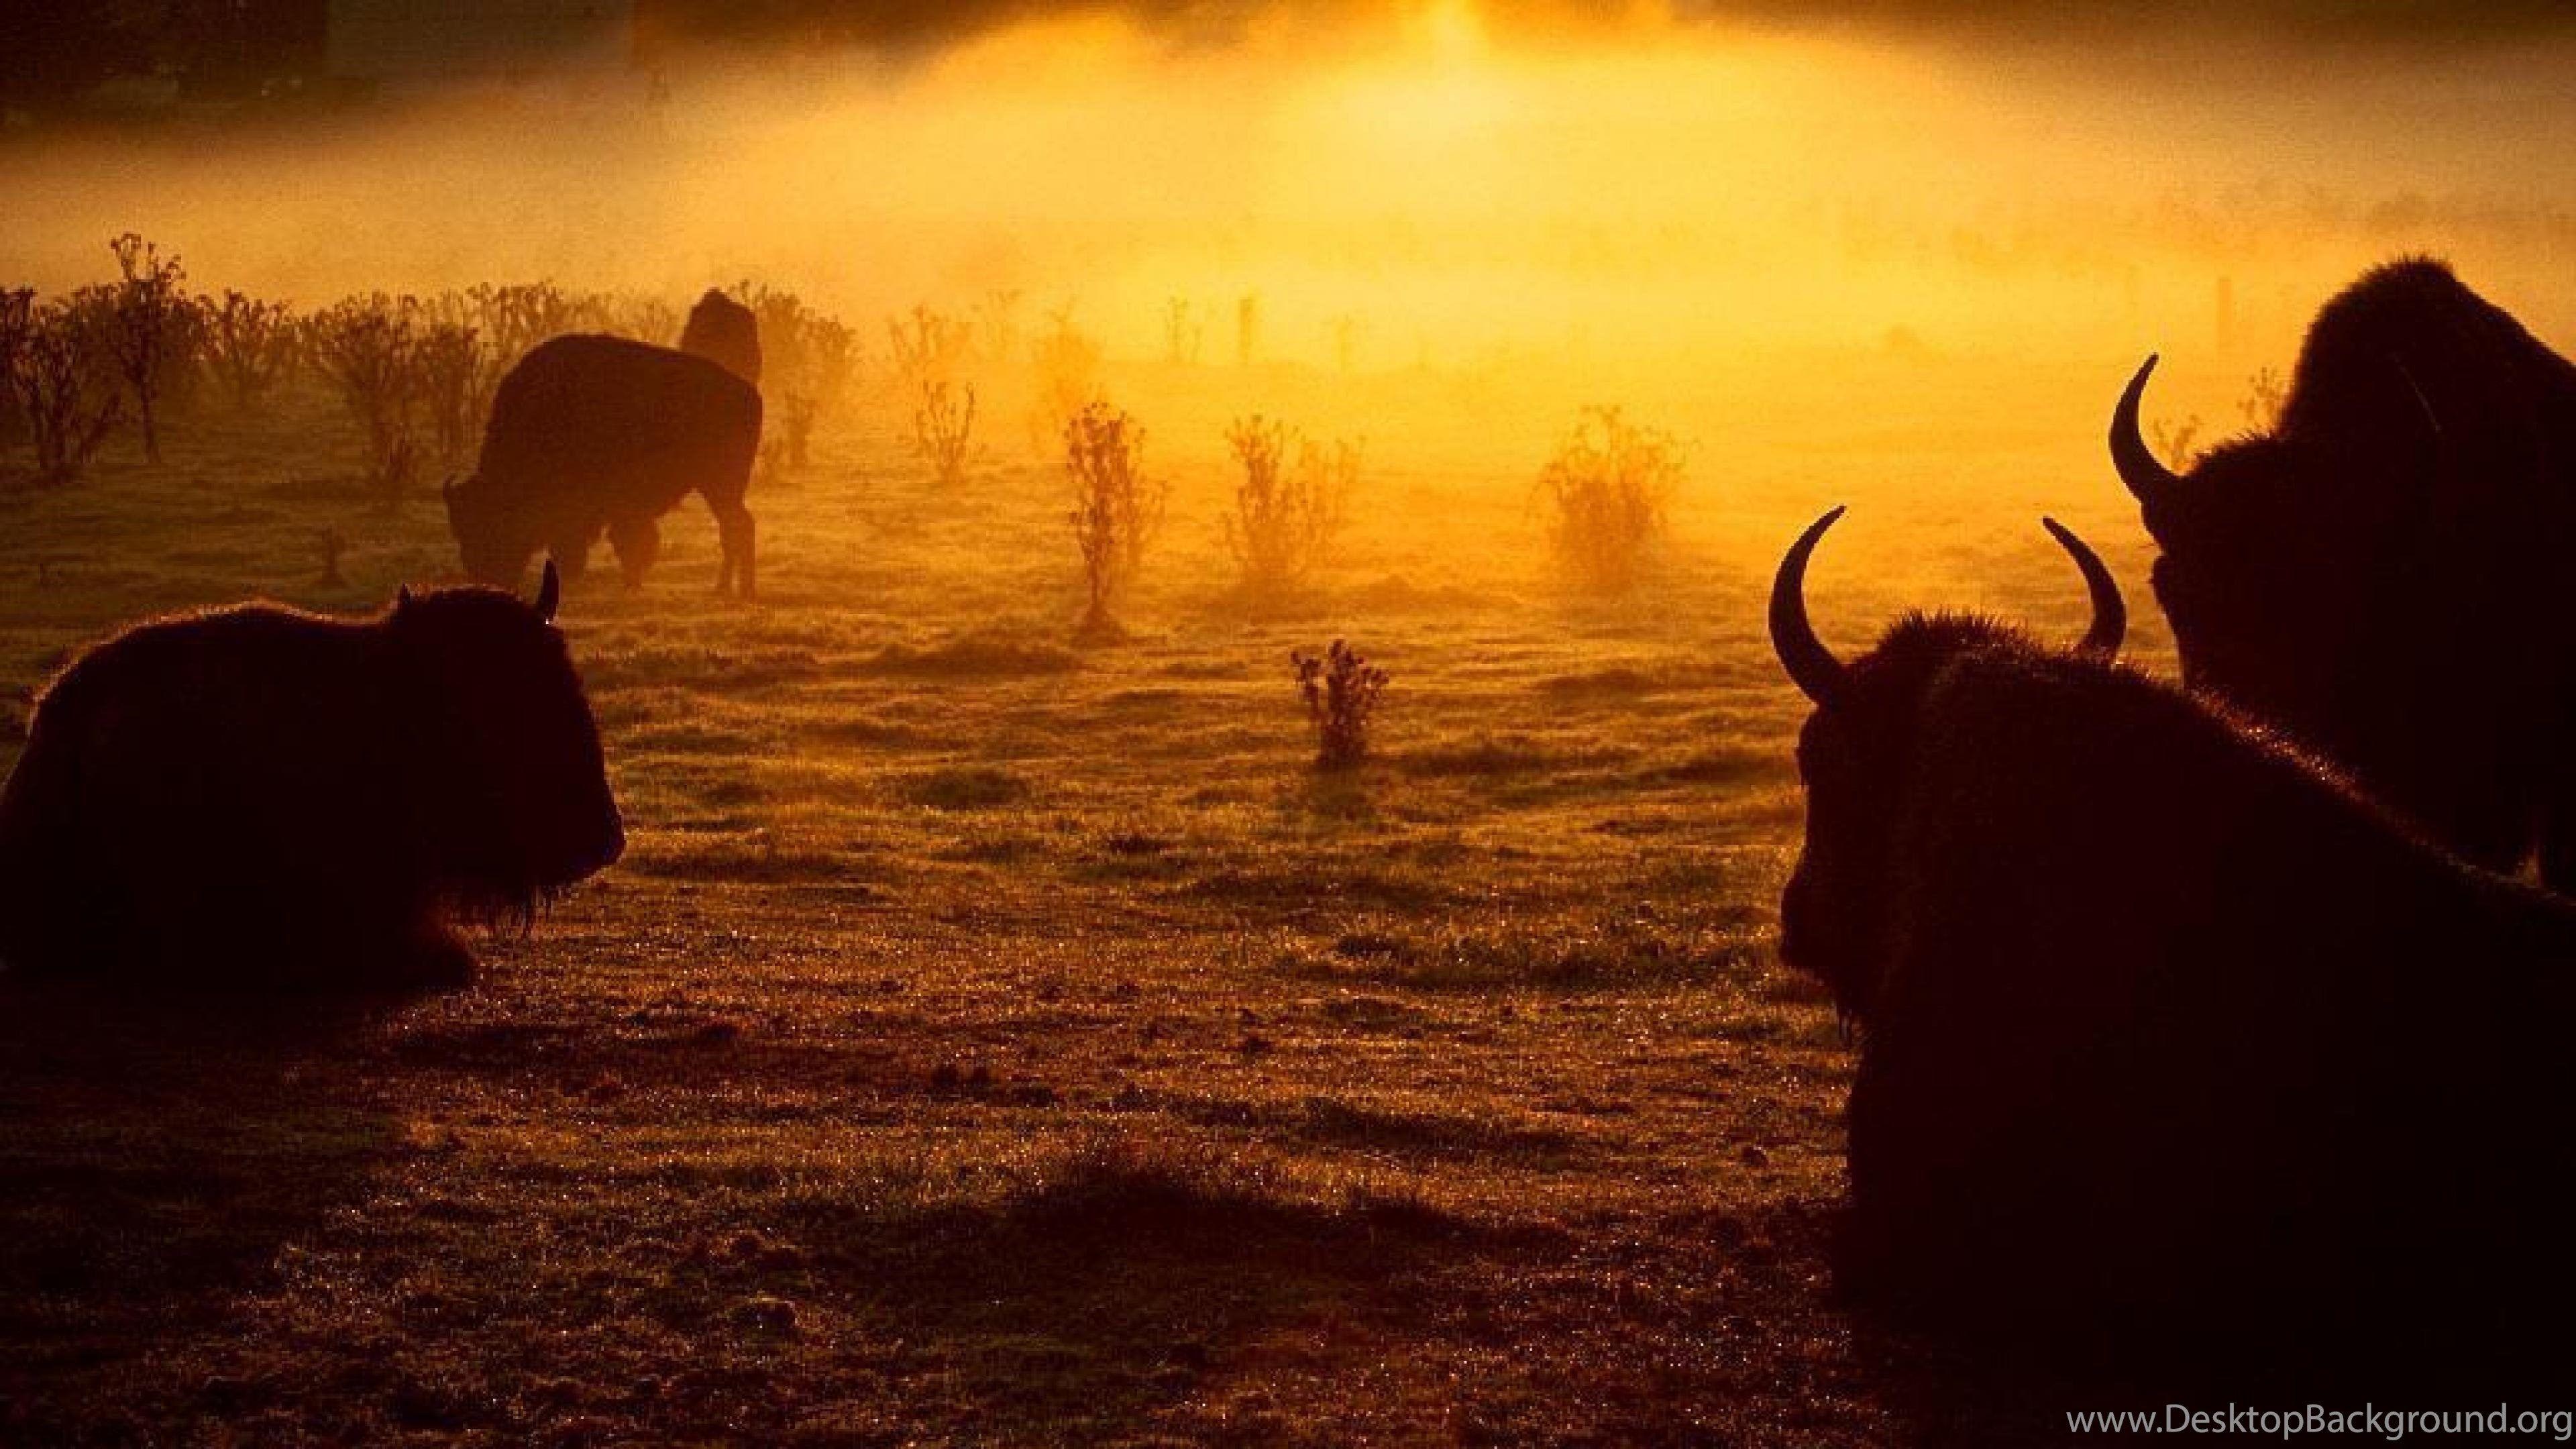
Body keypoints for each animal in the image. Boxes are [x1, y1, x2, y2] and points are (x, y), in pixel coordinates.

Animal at [446, 334, 762, 598]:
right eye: (460, 529)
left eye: (486, 523)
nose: (485, 576)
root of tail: (750, 395)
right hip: (720, 488)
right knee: (737, 526)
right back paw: (731, 587)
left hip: (720, 485)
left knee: (737, 527)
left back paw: (733, 588)